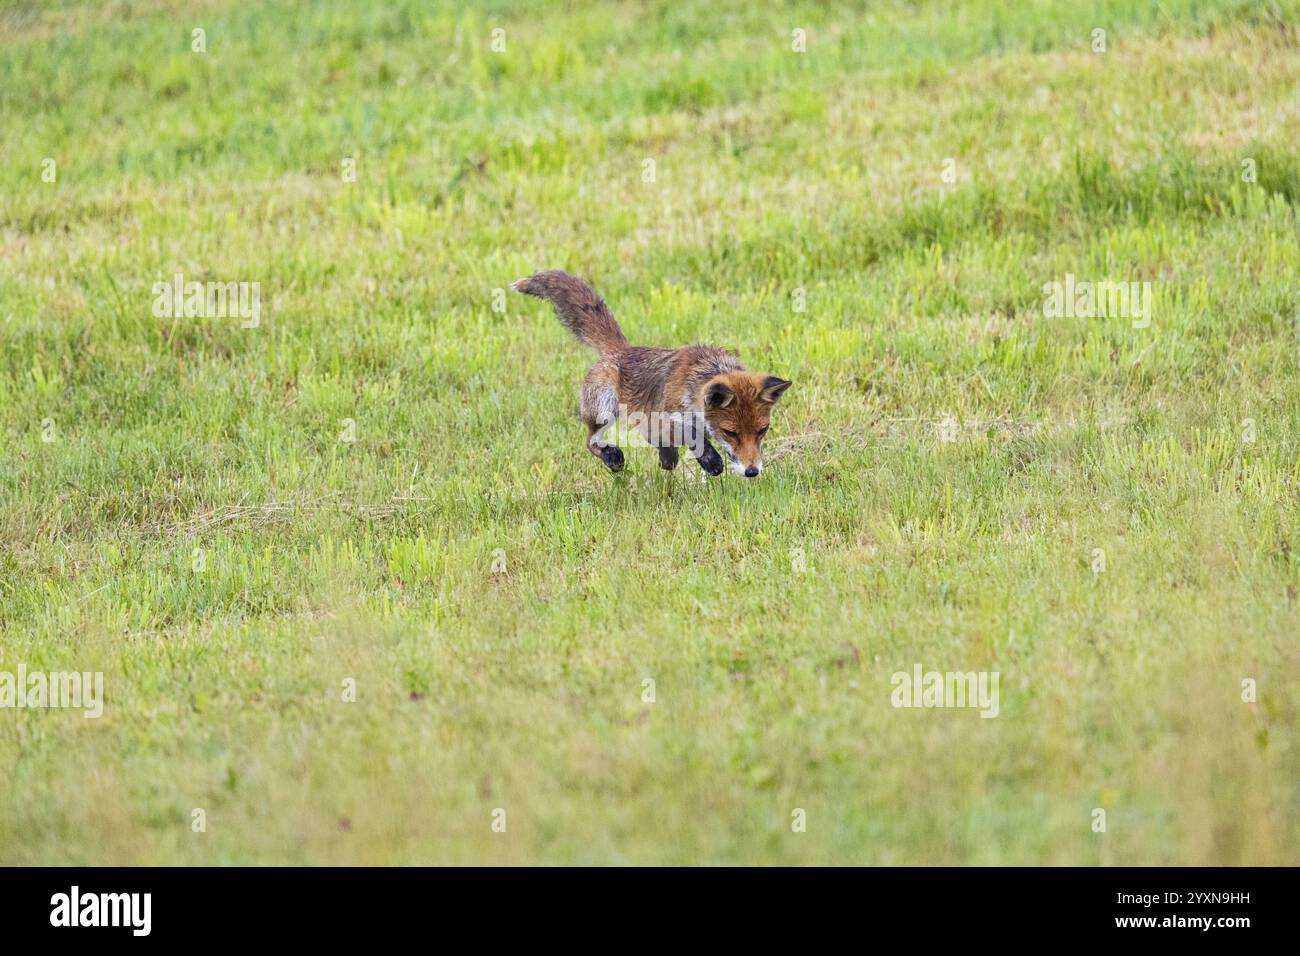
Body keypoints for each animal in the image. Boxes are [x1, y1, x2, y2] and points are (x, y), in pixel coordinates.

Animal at [512, 270, 791, 478]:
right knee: (590, 440)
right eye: (730, 433)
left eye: (762, 430)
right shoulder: (665, 416)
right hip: (603, 408)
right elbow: (692, 436)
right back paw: (612, 455)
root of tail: (622, 350)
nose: (752, 471)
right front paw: (710, 460)